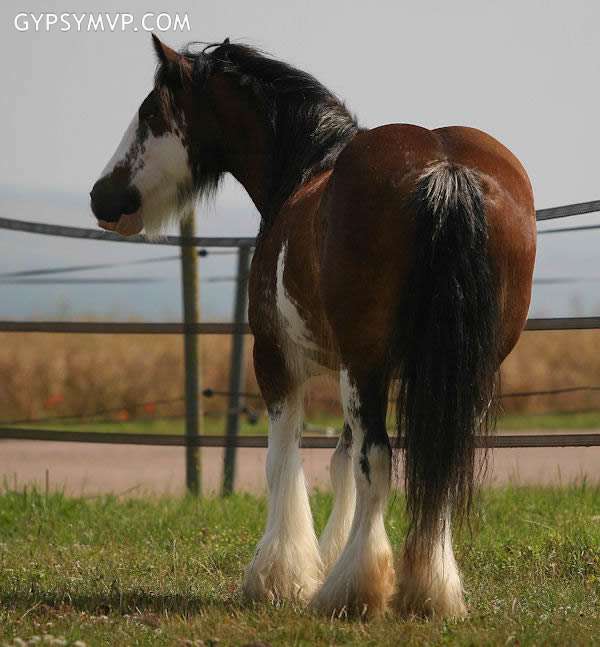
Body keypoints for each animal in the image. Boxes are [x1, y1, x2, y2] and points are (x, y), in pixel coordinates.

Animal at [90, 34, 536, 618]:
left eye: (149, 113)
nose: (102, 197)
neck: (306, 172)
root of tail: (444, 169)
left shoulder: (277, 361)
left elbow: (284, 461)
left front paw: (278, 577)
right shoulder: (361, 368)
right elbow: (340, 463)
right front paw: (326, 558)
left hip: (366, 367)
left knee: (379, 462)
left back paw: (354, 591)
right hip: (458, 371)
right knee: (436, 464)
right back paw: (428, 590)